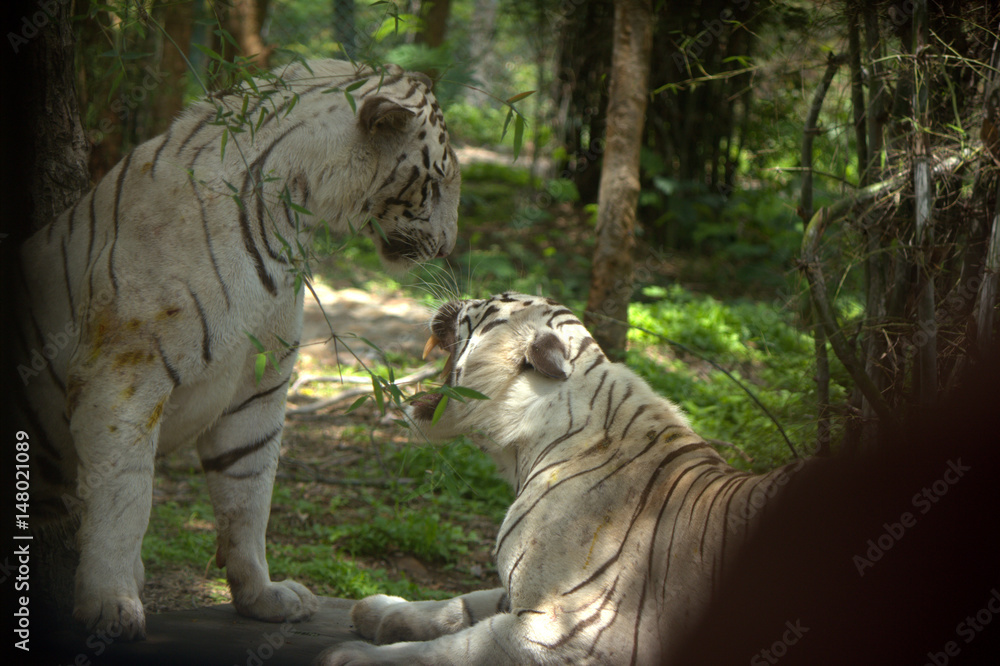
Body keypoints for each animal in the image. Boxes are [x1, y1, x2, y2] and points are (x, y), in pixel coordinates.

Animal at [14, 58, 460, 641]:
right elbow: (125, 498)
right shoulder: (121, 377)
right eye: (438, 180)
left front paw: (264, 597)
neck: (293, 218)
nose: (450, 246)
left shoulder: (259, 386)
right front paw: (111, 605)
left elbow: (248, 492)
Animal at [317, 292, 808, 665]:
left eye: (484, 305)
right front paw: (379, 611)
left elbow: (452, 650)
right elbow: (461, 605)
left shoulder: (562, 634)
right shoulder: (527, 593)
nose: (447, 302)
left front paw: (352, 657)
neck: (527, 444)